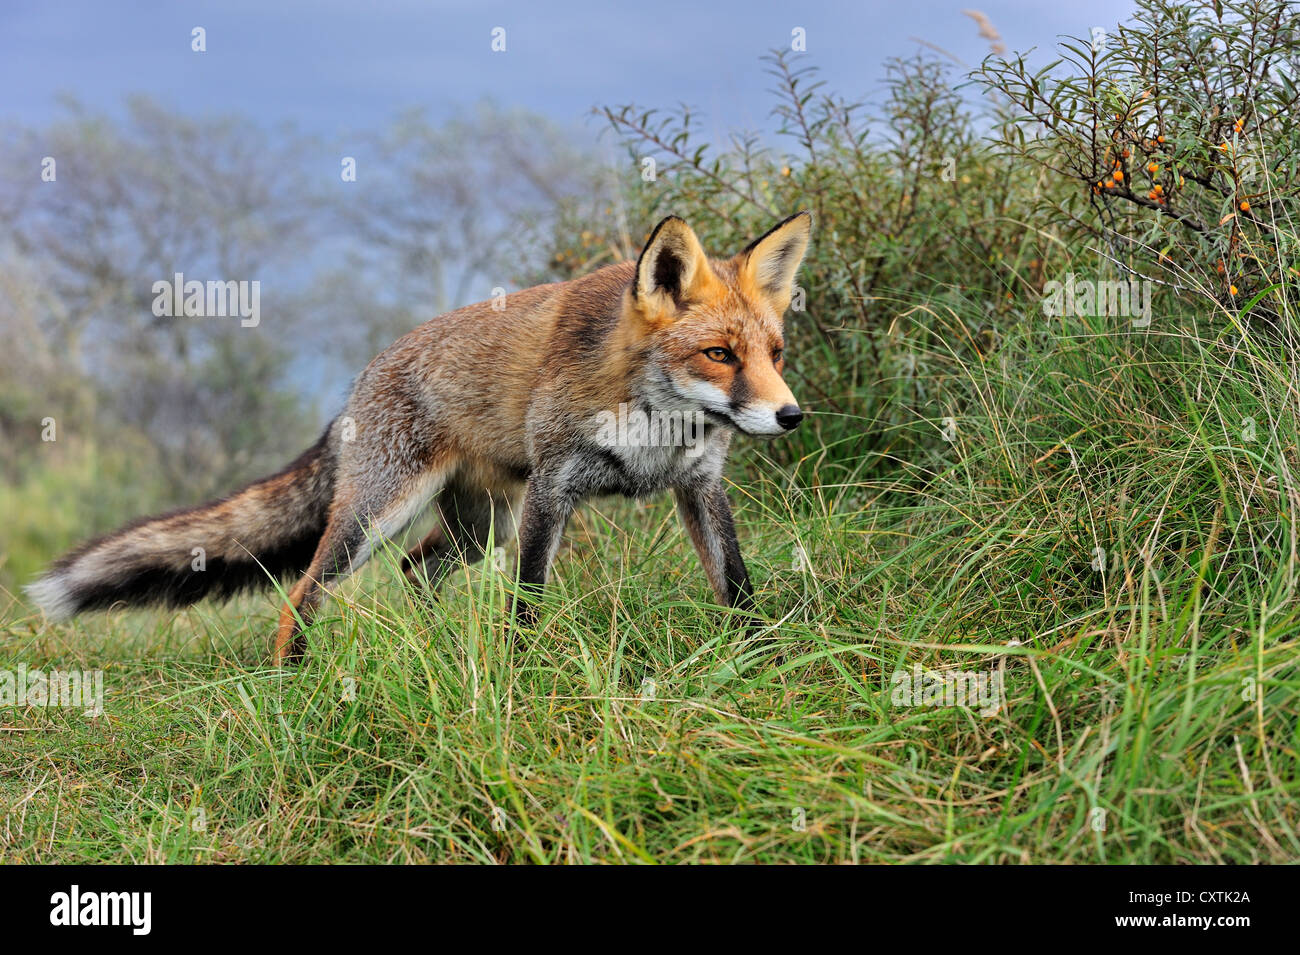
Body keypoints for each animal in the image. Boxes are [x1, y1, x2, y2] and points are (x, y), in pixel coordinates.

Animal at [27, 212, 812, 664]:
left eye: (775, 354)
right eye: (719, 354)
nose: (791, 415)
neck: (654, 427)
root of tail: (360, 379)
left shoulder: (698, 484)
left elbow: (738, 587)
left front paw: (766, 660)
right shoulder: (553, 492)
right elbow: (527, 605)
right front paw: (522, 675)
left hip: (482, 526)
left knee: (415, 572)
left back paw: (434, 650)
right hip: (380, 515)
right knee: (301, 594)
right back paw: (293, 681)